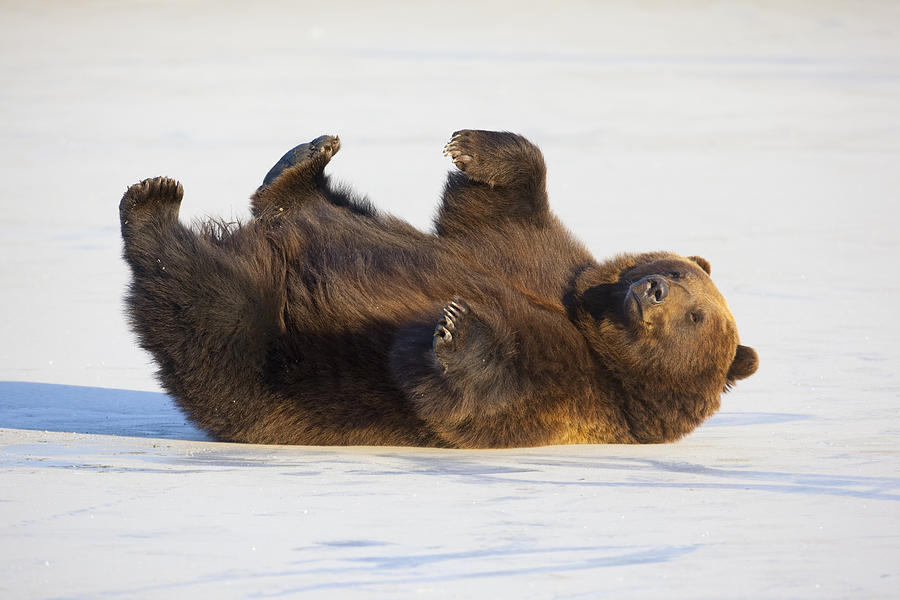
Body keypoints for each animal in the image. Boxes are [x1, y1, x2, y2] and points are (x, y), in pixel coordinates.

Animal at [119, 129, 758, 448]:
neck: (591, 330)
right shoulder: (542, 265)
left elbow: (473, 396)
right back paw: (303, 160)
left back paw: (154, 206)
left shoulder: (573, 393)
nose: (653, 289)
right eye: (682, 275)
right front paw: (474, 145)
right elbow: (497, 215)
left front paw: (456, 325)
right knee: (314, 209)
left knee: (205, 306)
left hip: (275, 360)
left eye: (698, 318)